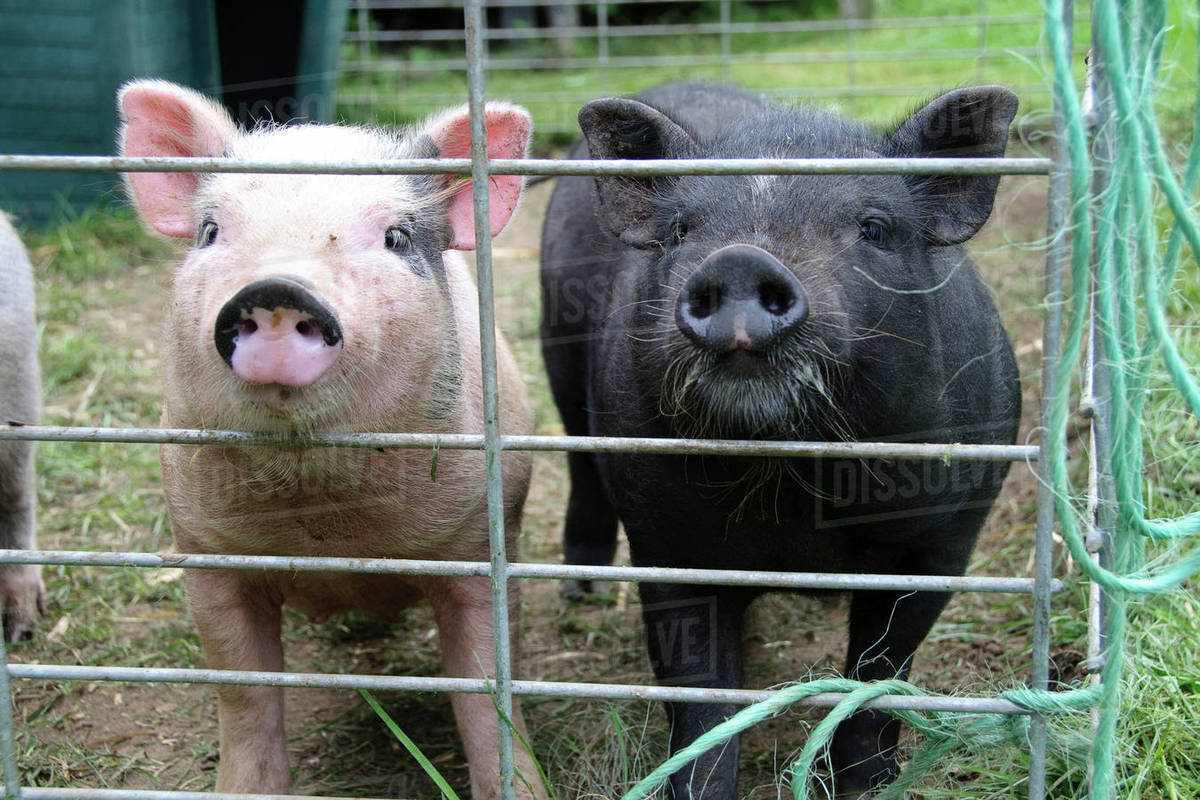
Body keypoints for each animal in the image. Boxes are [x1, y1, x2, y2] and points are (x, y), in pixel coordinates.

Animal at [118, 79, 546, 798]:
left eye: (396, 236)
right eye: (211, 230)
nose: (276, 289)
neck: (327, 522)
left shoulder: (477, 546)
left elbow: (486, 693)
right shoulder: (205, 550)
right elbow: (244, 693)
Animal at [540, 82, 1021, 798]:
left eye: (874, 227)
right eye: (681, 231)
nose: (741, 259)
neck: (791, 486)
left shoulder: (945, 536)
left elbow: (879, 675)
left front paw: (866, 785)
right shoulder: (663, 540)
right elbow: (701, 693)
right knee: (579, 462)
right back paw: (582, 590)